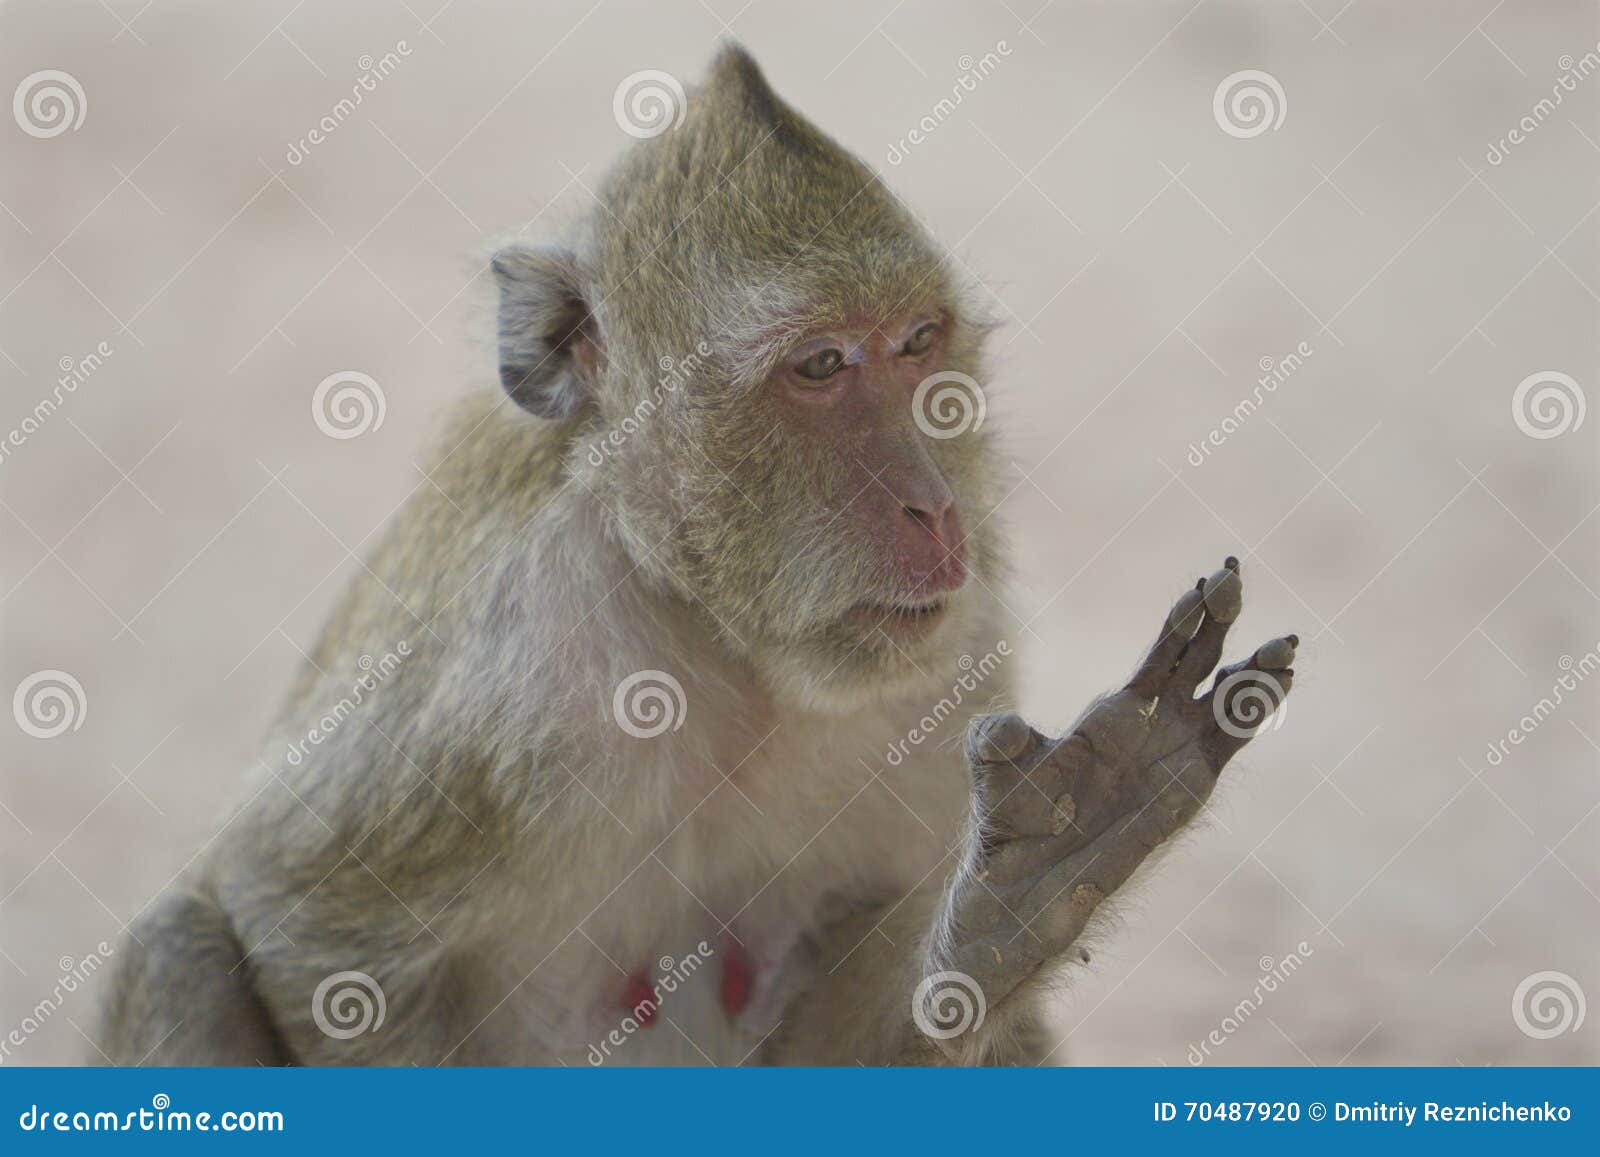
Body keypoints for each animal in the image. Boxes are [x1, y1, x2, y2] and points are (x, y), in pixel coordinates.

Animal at [96, 45, 1297, 1066]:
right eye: (819, 365)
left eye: (919, 344)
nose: (934, 504)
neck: (718, 633)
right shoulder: (517, 656)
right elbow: (310, 926)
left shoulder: (953, 657)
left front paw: (1025, 901)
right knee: (179, 948)